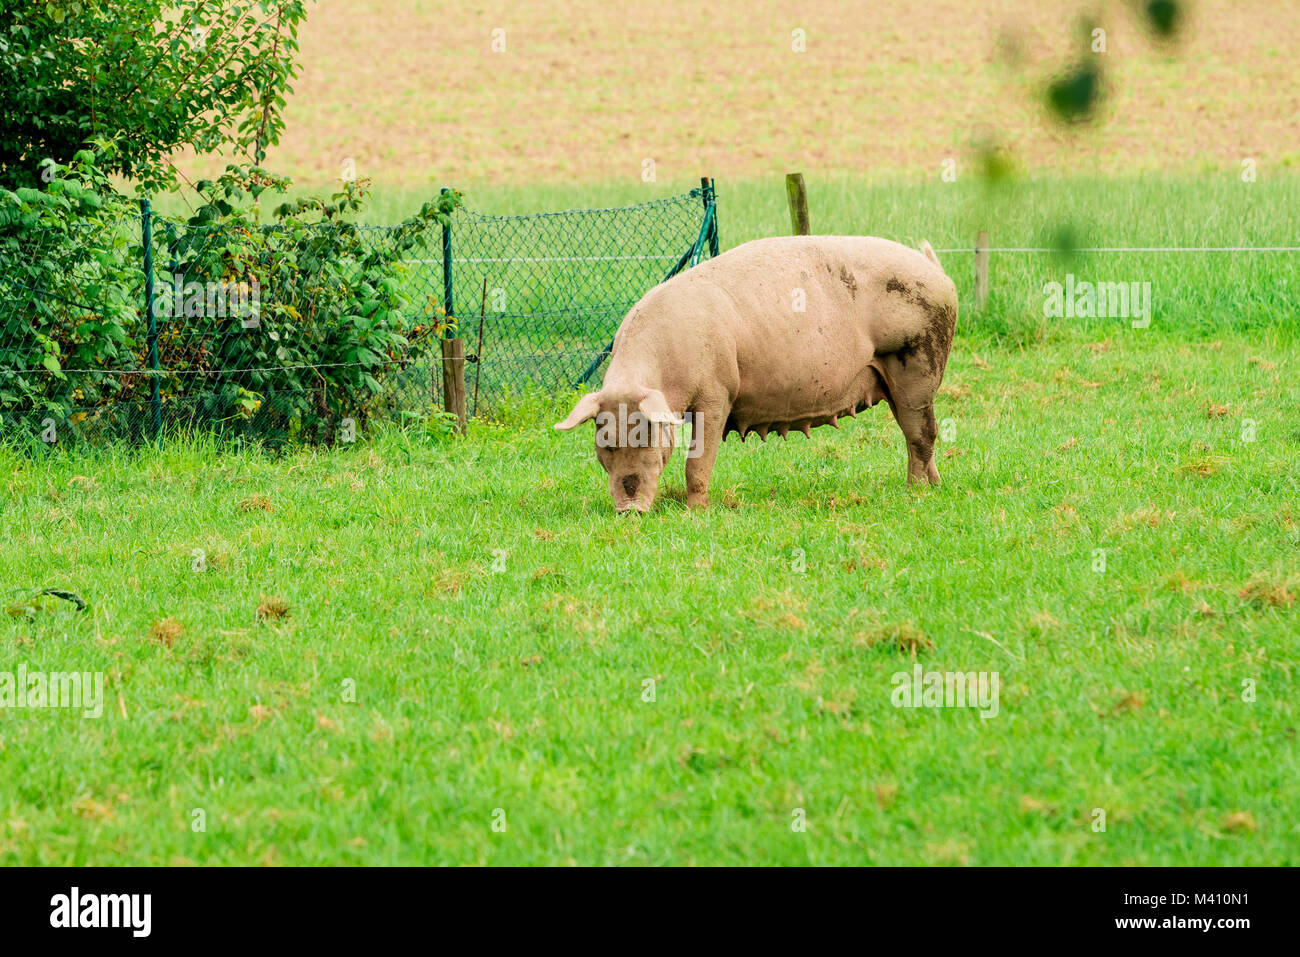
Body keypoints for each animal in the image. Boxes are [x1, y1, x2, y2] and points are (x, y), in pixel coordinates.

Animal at [555, 235, 957, 512]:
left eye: (649, 438)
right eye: (606, 444)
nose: (630, 511)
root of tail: (938, 273)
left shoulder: (717, 391)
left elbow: (698, 460)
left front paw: (695, 512)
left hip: (918, 361)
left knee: (922, 433)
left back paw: (914, 492)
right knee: (919, 434)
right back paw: (935, 487)